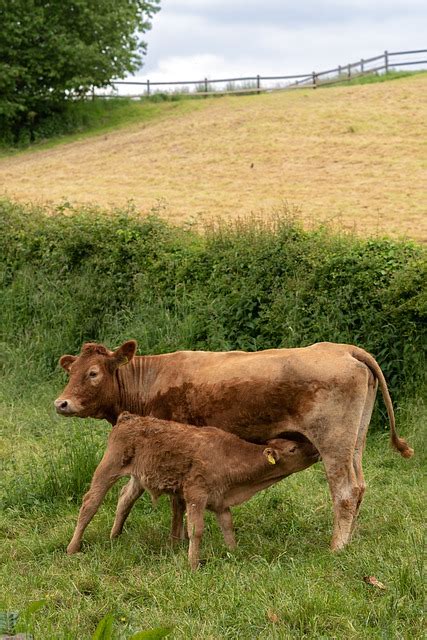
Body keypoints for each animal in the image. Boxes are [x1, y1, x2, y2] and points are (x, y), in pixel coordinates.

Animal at [55, 340, 413, 551]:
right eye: (70, 371)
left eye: (93, 373)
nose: (61, 403)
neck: (150, 380)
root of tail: (343, 348)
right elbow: (128, 494)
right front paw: (115, 535)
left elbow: (174, 502)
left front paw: (176, 541)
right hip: (355, 443)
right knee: (360, 487)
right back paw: (350, 539)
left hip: (333, 442)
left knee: (345, 492)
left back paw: (336, 547)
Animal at [66, 412, 320, 569]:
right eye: (293, 448)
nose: (317, 450)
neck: (228, 457)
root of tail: (129, 417)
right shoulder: (195, 494)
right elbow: (195, 530)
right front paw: (193, 564)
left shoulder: (221, 501)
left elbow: (228, 526)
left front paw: (234, 553)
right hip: (108, 468)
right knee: (90, 503)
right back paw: (73, 547)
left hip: (137, 478)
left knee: (124, 500)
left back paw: (114, 536)